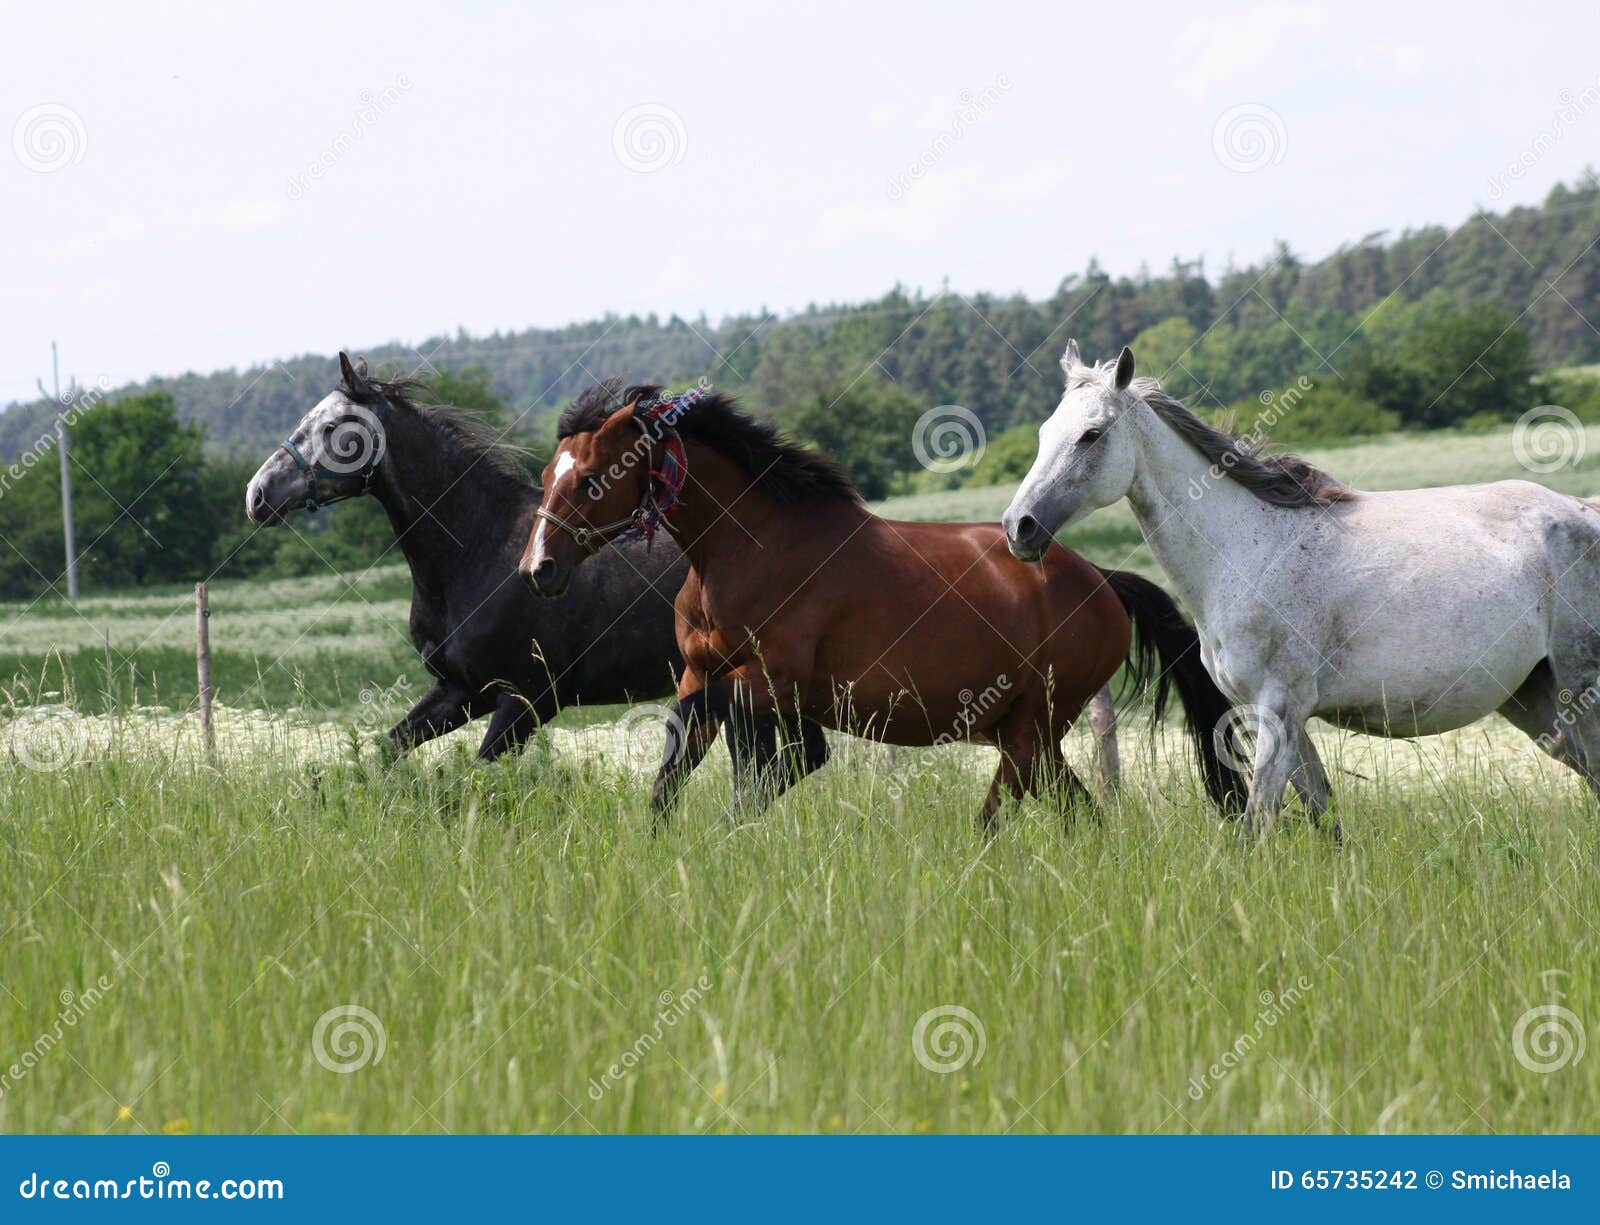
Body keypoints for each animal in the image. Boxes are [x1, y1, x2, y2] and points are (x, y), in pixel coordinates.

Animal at [243, 353, 697, 761]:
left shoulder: (527, 698)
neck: (478, 549)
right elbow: (388, 749)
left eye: (332, 426)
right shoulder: (460, 690)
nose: (257, 494)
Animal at [518, 379, 1247, 831]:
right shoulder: (705, 674)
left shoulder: (768, 682)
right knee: (1079, 812)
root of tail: (1102, 580)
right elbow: (676, 773)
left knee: (999, 815)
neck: (746, 545)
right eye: (547, 475)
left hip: (1033, 728)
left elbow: (763, 766)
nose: (537, 569)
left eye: (591, 481)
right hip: (1029, 730)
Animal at [1001, 341, 1600, 840]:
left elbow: (1256, 827)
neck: (1247, 550)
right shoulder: (1282, 718)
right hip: (1534, 699)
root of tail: (1581, 509)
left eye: (1092, 434)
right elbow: (1323, 816)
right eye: (1044, 433)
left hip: (1578, 686)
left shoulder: (1278, 710)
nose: (1019, 528)